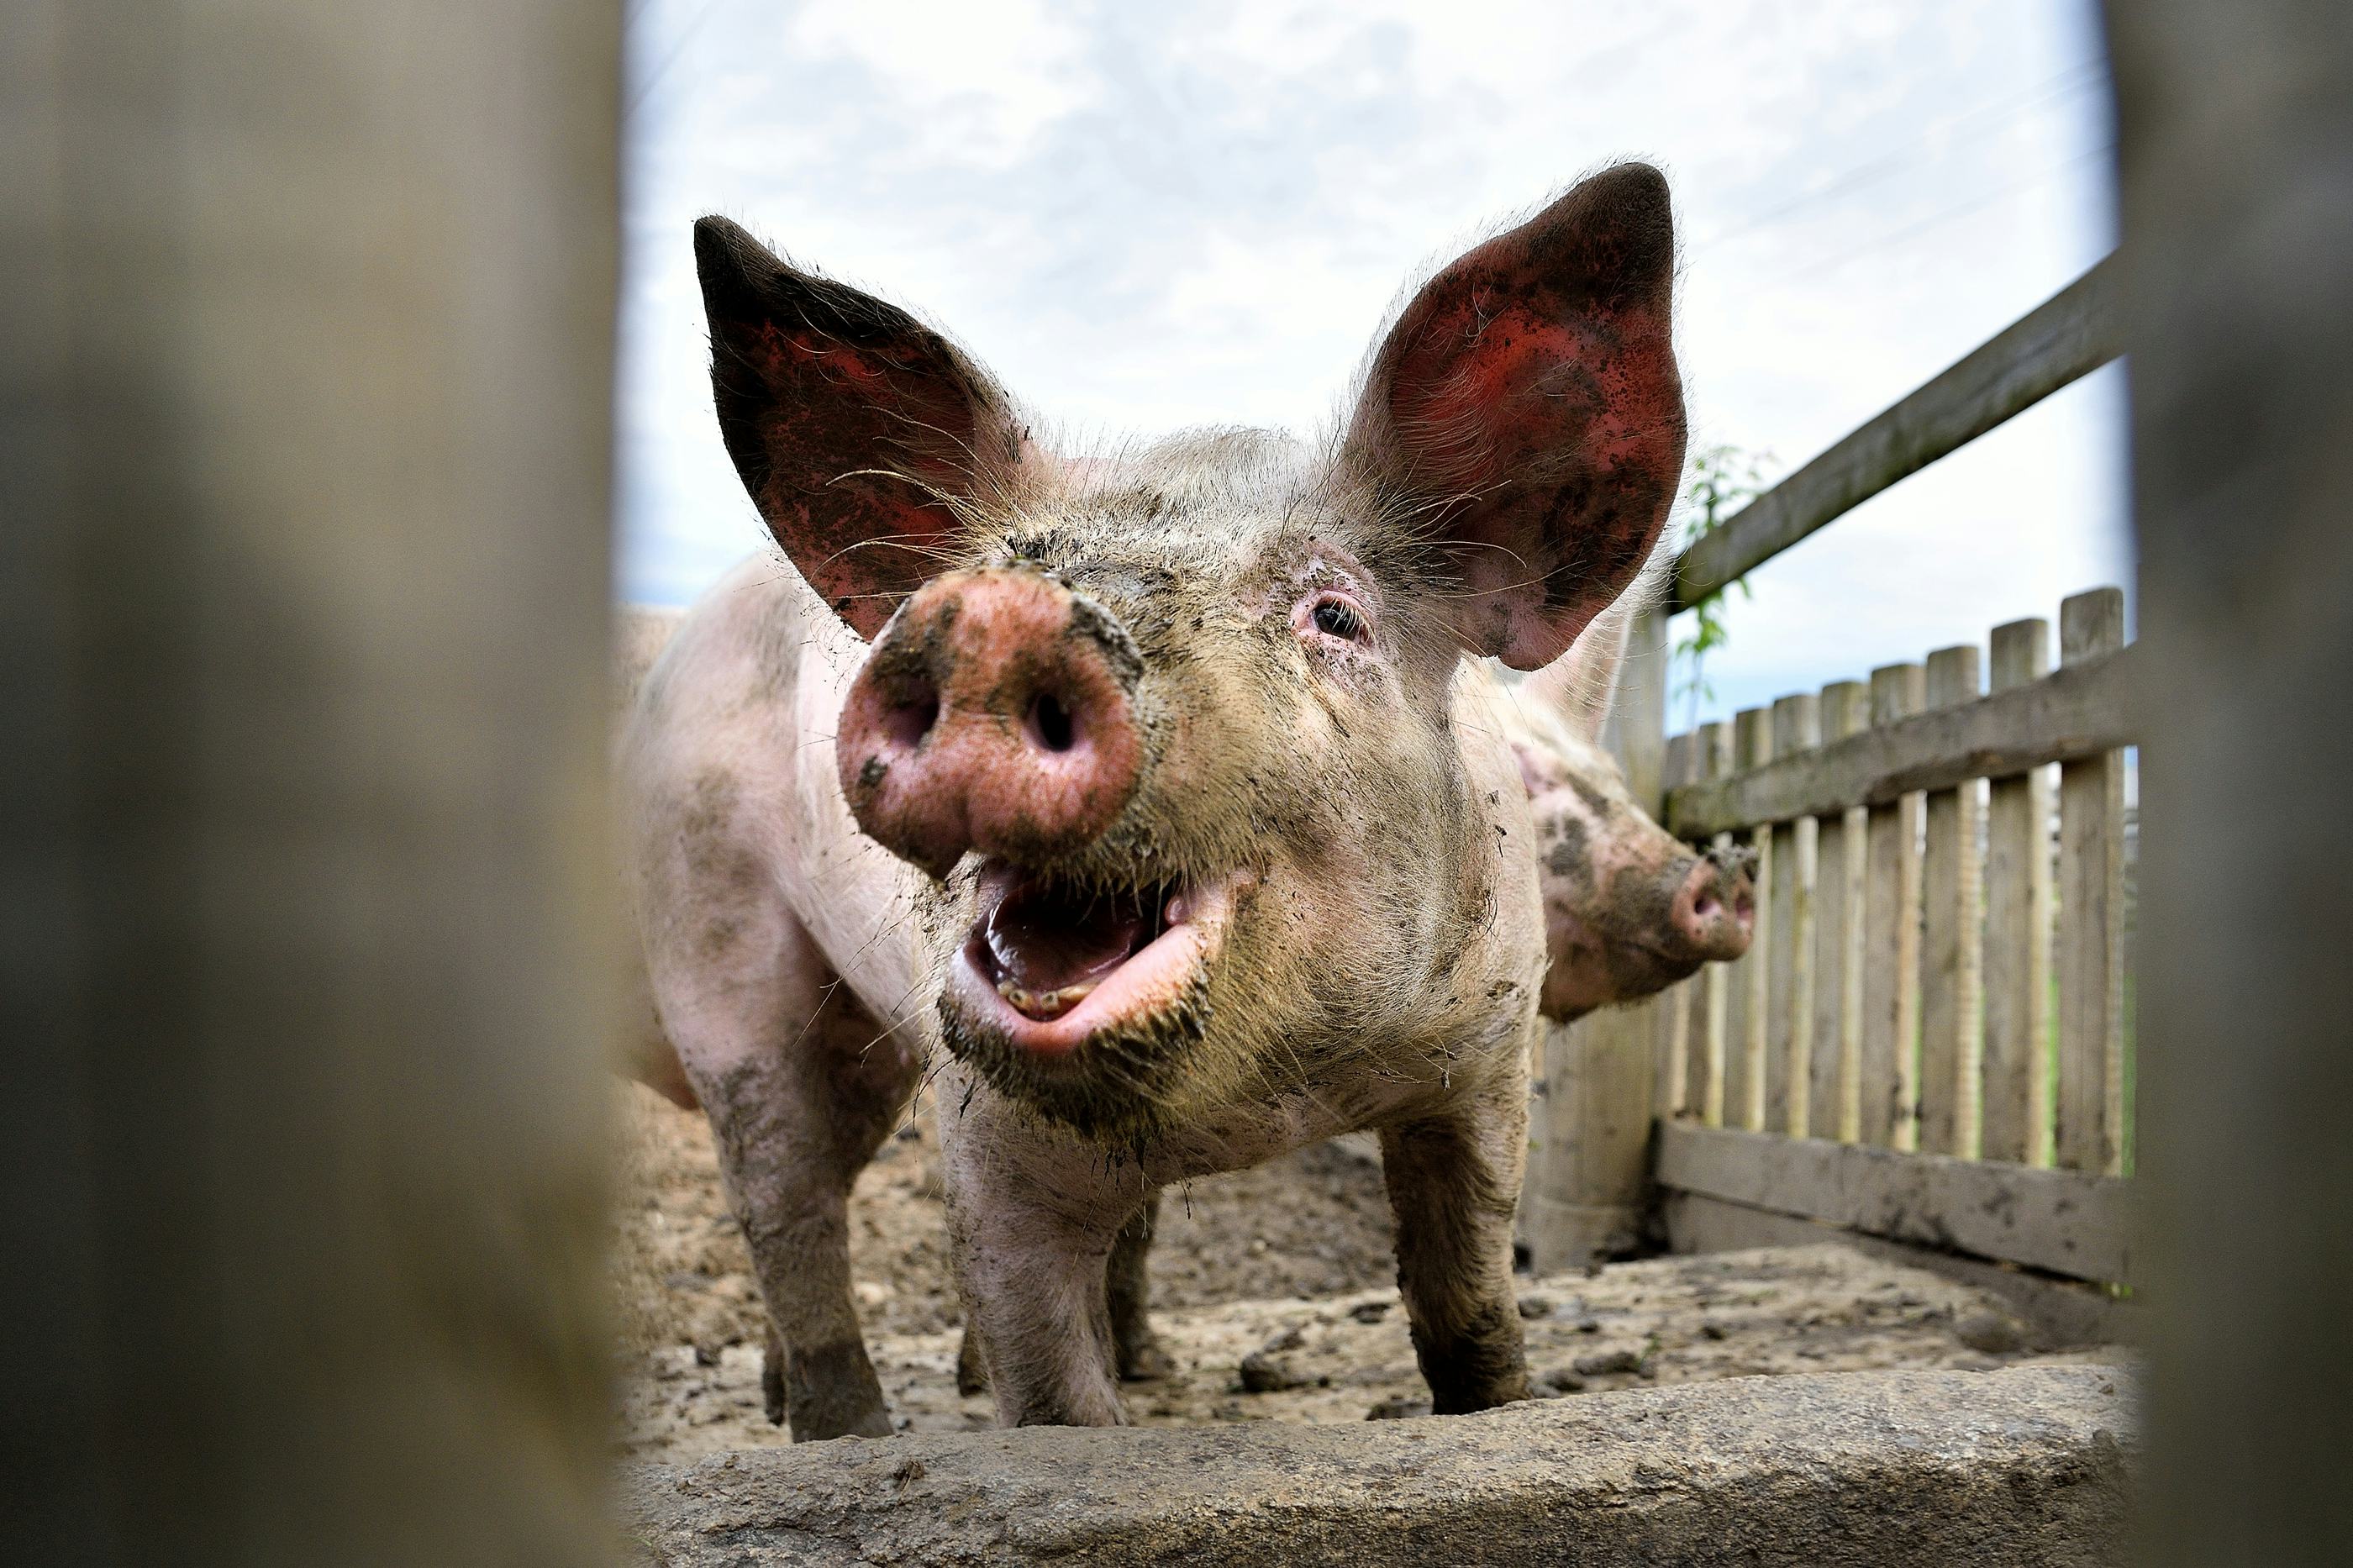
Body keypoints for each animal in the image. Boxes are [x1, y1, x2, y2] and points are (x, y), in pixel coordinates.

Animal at [620, 163, 1693, 1439]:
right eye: (1002, 572)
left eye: (1336, 614)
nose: (997, 616)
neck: (1274, 1101)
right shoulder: (987, 1136)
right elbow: (1049, 1382)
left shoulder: (1485, 1054)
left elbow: (1470, 1300)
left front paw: (1485, 1405)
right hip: (713, 937)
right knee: (781, 1191)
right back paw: (850, 1433)